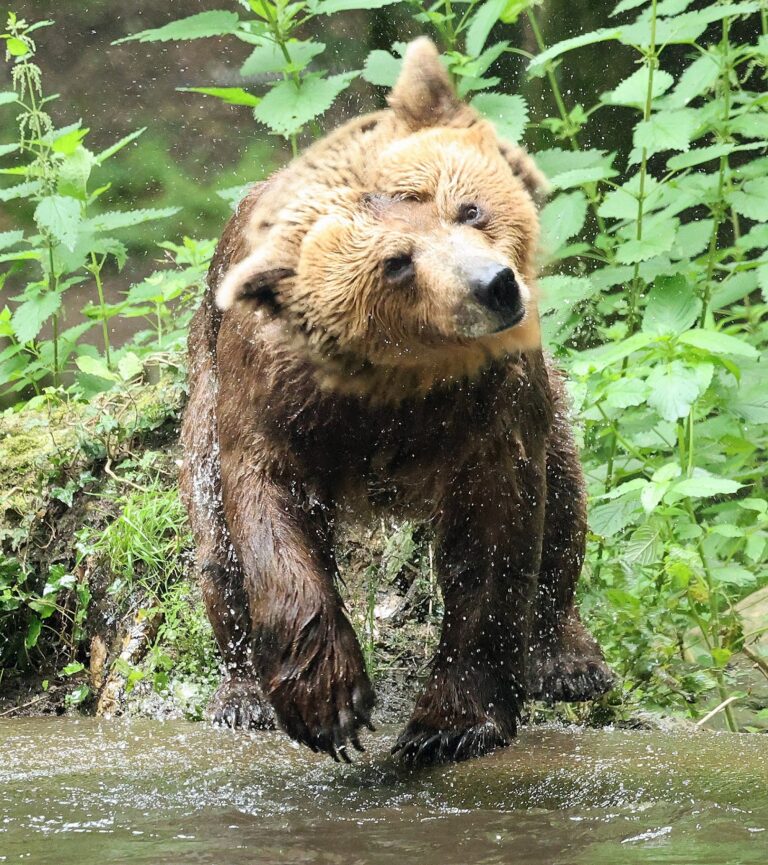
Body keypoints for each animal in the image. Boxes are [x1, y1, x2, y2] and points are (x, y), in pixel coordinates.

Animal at [179, 37, 614, 766]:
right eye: (397, 262)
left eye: (469, 209)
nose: (495, 286)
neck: (392, 390)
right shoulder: (270, 398)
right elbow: (267, 513)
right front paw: (329, 704)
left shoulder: (491, 408)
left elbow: (496, 538)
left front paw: (452, 722)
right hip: (203, 405)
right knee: (218, 544)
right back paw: (242, 695)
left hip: (550, 410)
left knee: (563, 502)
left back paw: (568, 660)